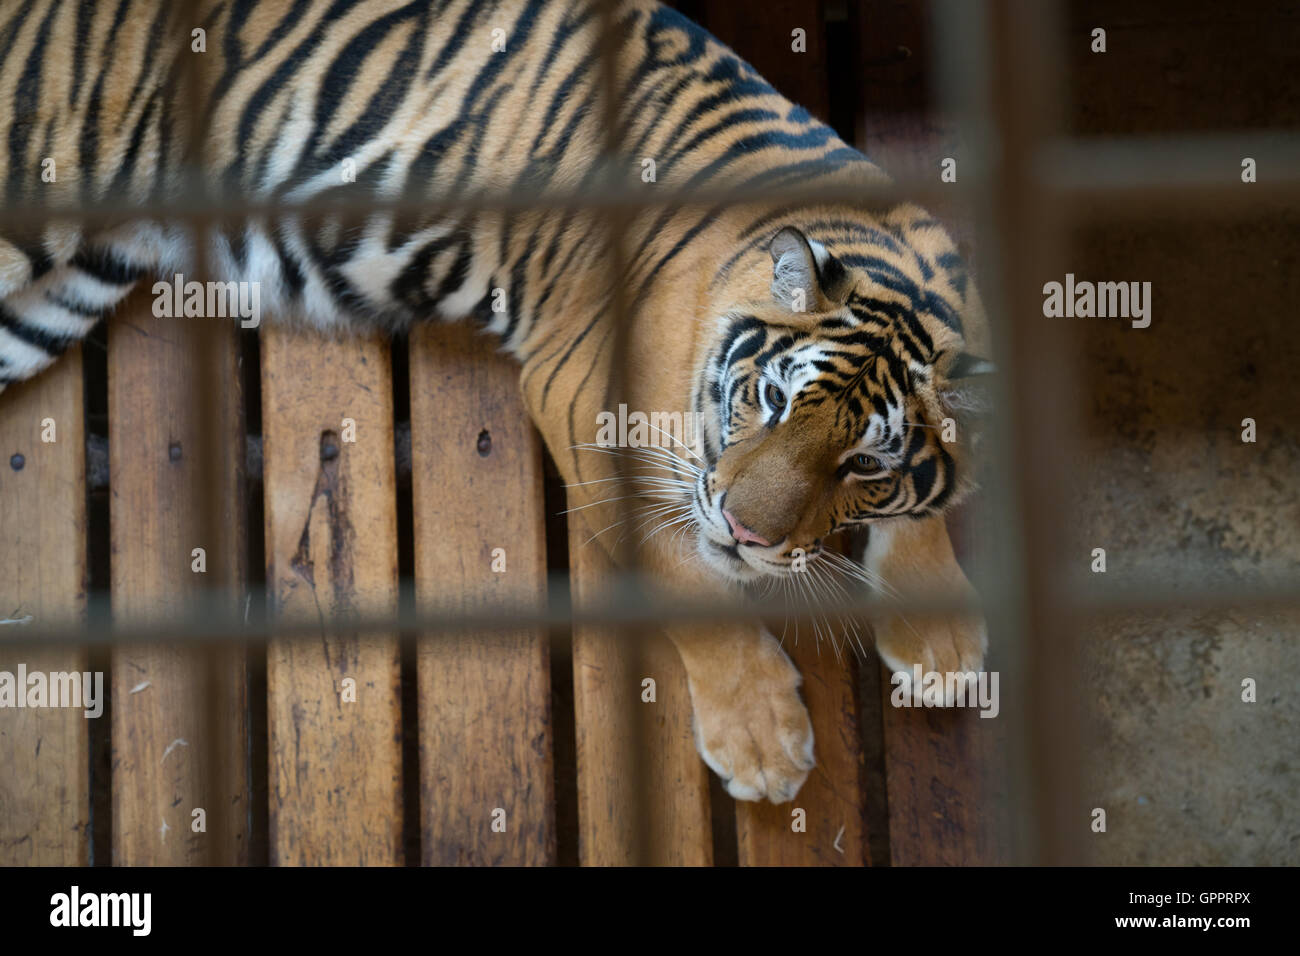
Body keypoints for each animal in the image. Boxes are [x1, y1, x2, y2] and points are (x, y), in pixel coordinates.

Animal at [0, 0, 993, 803]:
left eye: (864, 461)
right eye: (774, 400)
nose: (750, 534)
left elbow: (925, 508)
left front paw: (941, 643)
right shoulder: (588, 411)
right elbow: (683, 578)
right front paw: (761, 742)